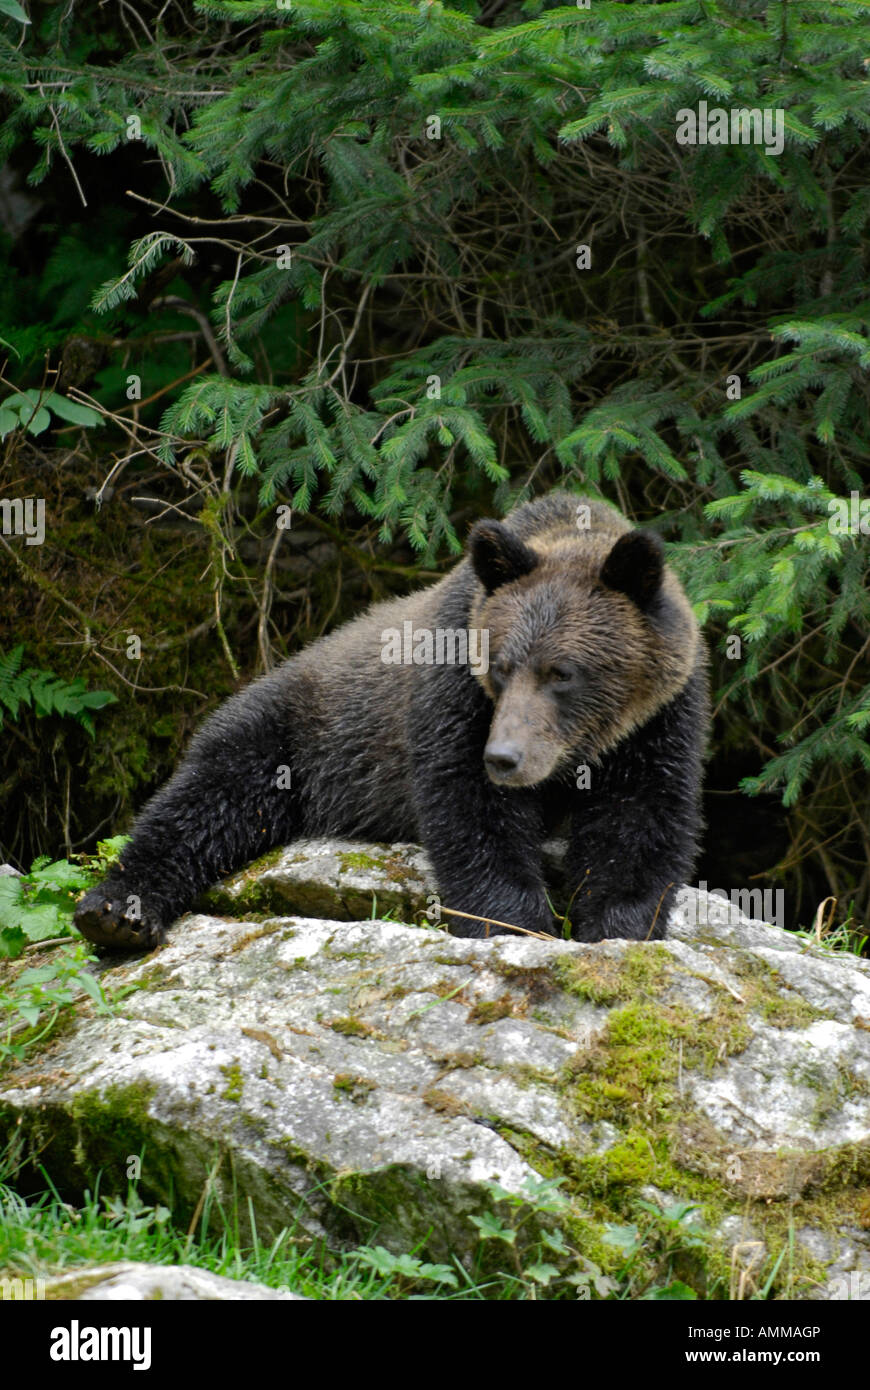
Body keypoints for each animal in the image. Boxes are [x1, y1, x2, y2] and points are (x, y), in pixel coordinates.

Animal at [74, 491, 708, 951]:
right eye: (500, 666)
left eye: (563, 672)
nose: (505, 758)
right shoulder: (454, 689)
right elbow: (470, 811)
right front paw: (514, 924)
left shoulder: (661, 718)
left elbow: (639, 821)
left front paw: (618, 928)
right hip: (297, 732)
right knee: (207, 801)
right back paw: (116, 911)